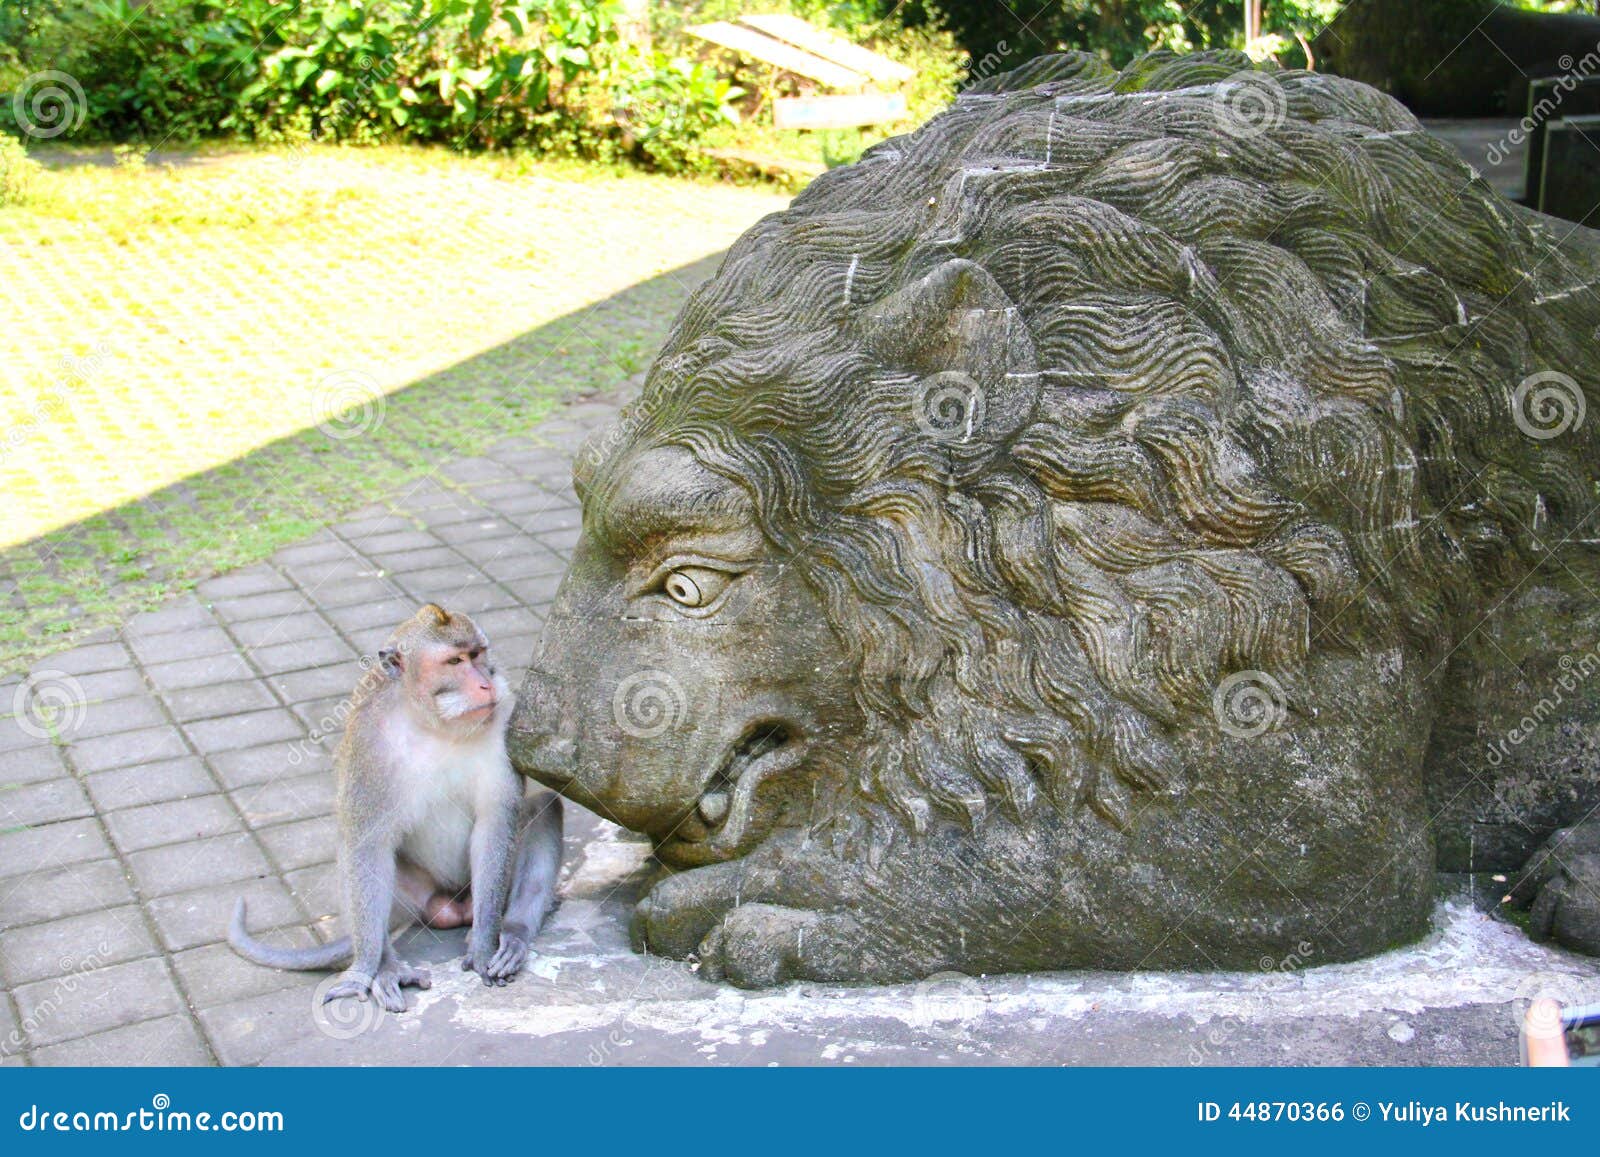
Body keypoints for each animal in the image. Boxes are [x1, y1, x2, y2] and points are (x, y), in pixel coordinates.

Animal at [228, 604, 563, 1012]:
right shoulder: (368, 739)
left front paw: (485, 944)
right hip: (413, 895)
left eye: (477, 654)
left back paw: (514, 933)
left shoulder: (507, 720)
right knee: (353, 847)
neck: (436, 724)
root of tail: (451, 904)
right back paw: (385, 963)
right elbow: (367, 844)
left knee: (545, 807)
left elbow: (495, 826)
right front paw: (366, 968)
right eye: (454, 661)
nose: (486, 682)